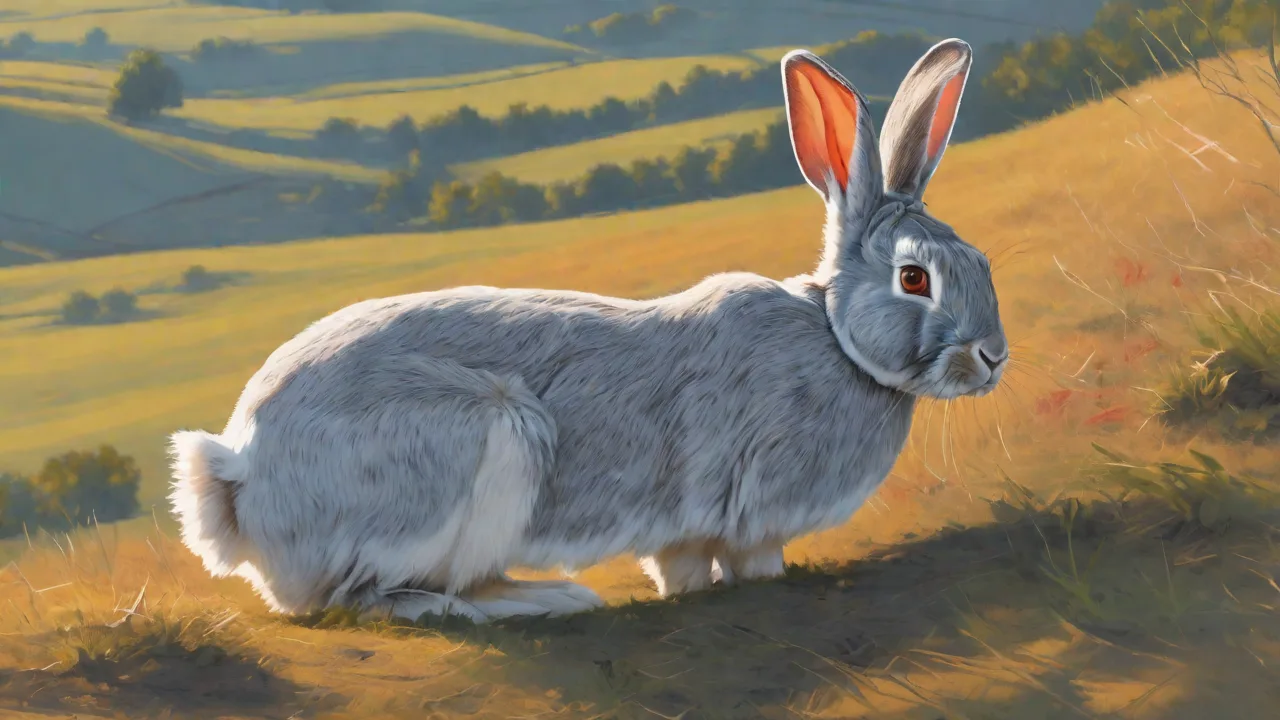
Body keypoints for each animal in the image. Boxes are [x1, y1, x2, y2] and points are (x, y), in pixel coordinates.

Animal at [167, 37, 1006, 624]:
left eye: (980, 259)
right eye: (915, 278)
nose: (994, 357)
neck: (837, 339)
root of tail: (238, 480)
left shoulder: (688, 526)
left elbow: (684, 570)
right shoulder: (740, 508)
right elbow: (737, 564)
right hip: (476, 443)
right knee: (368, 596)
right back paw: (534, 601)